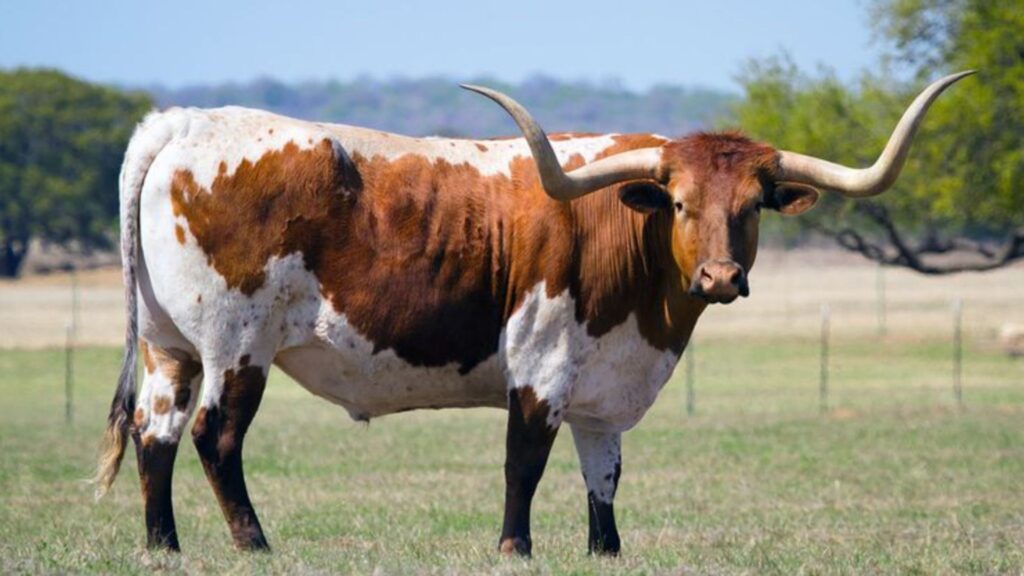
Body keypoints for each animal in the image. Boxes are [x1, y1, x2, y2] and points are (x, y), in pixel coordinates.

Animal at [93, 71, 971, 556]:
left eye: (753, 206)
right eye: (680, 204)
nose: (721, 275)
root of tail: (182, 123)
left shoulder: (603, 389)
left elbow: (603, 477)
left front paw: (606, 550)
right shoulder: (542, 369)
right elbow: (524, 465)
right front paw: (514, 546)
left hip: (171, 348)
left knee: (155, 434)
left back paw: (162, 545)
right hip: (236, 343)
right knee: (216, 436)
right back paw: (255, 544)